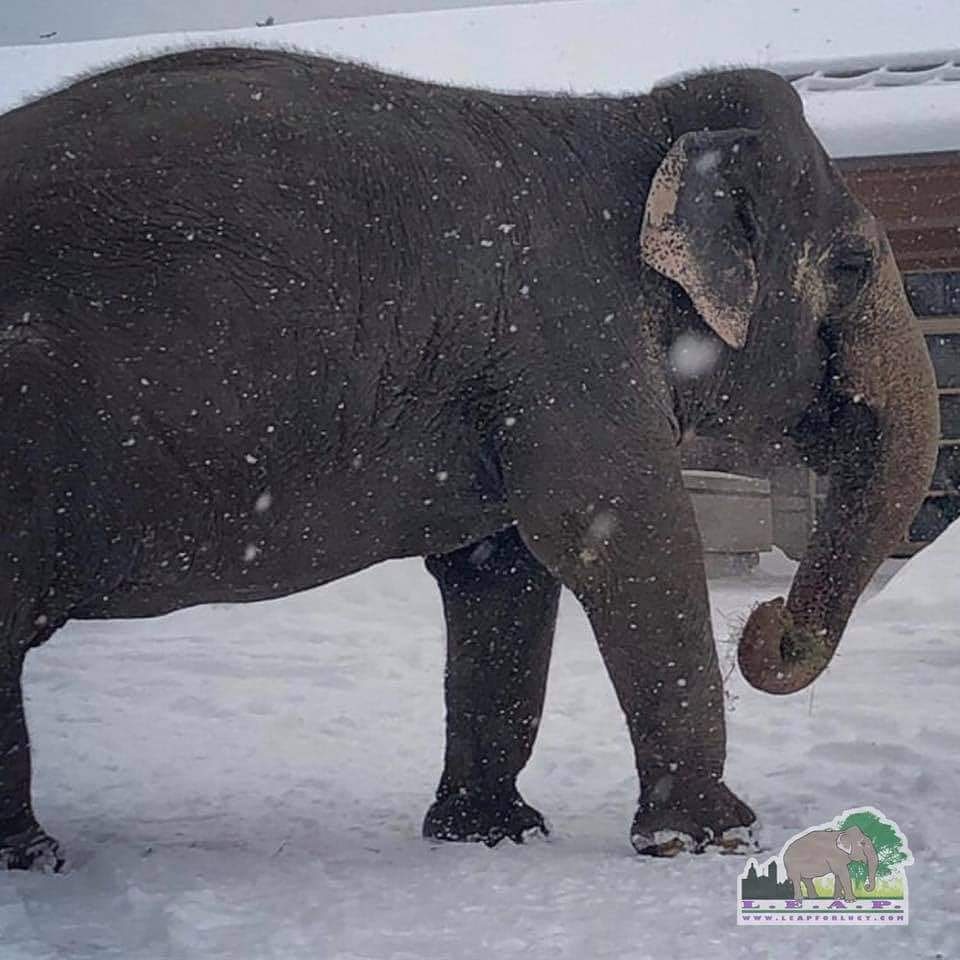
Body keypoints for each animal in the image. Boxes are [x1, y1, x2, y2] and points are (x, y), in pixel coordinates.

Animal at [0, 47, 939, 871]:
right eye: (854, 264)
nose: (768, 623)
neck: (635, 122)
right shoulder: (569, 335)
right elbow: (620, 532)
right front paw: (716, 839)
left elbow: (502, 570)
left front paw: (492, 835)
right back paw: (38, 860)